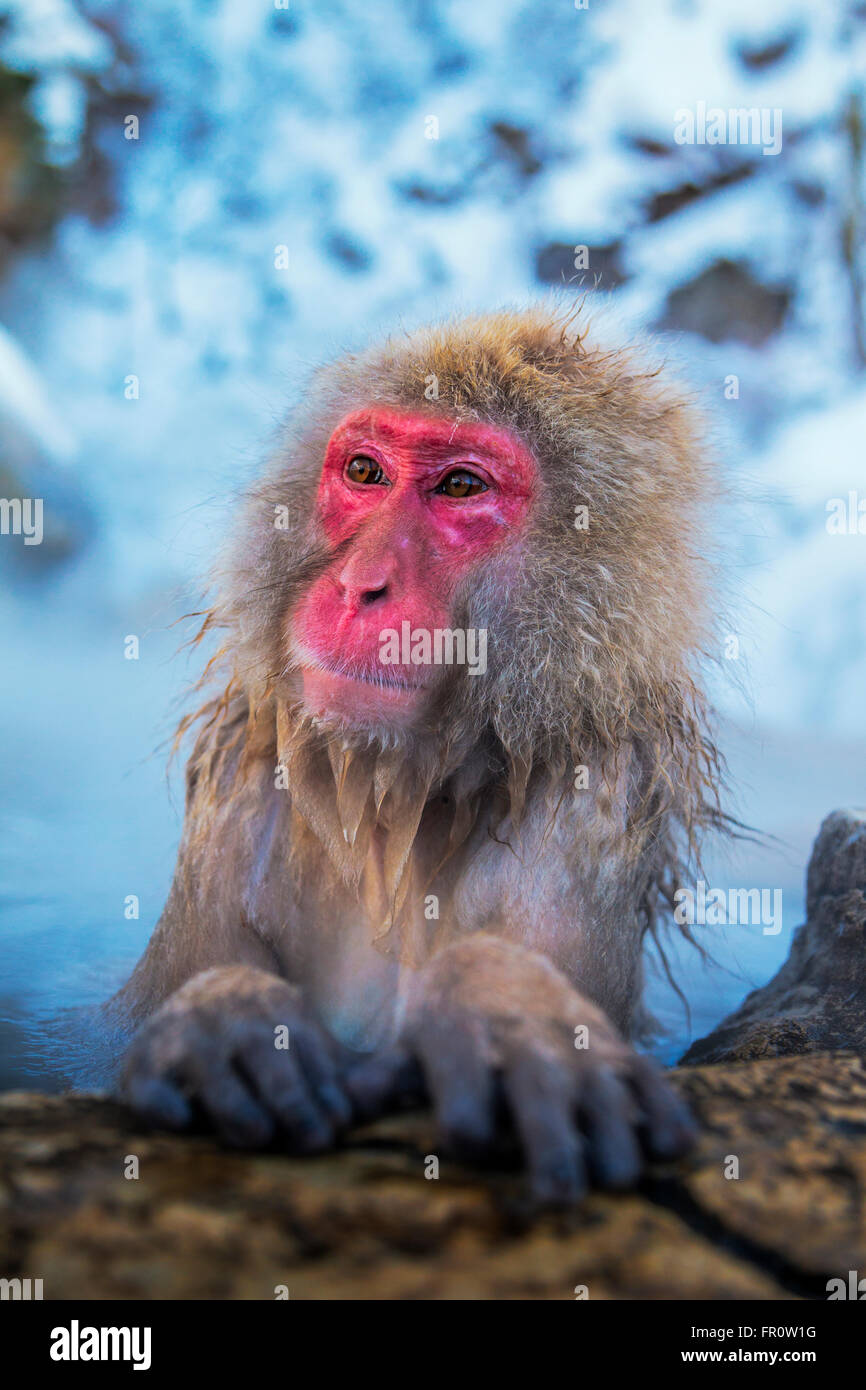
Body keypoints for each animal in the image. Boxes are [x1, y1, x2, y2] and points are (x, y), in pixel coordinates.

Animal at [110, 306, 724, 1204]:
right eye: (365, 471)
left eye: (460, 487)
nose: (359, 584)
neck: (403, 793)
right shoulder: (243, 767)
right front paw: (221, 1014)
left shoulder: (603, 786)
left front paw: (504, 1004)